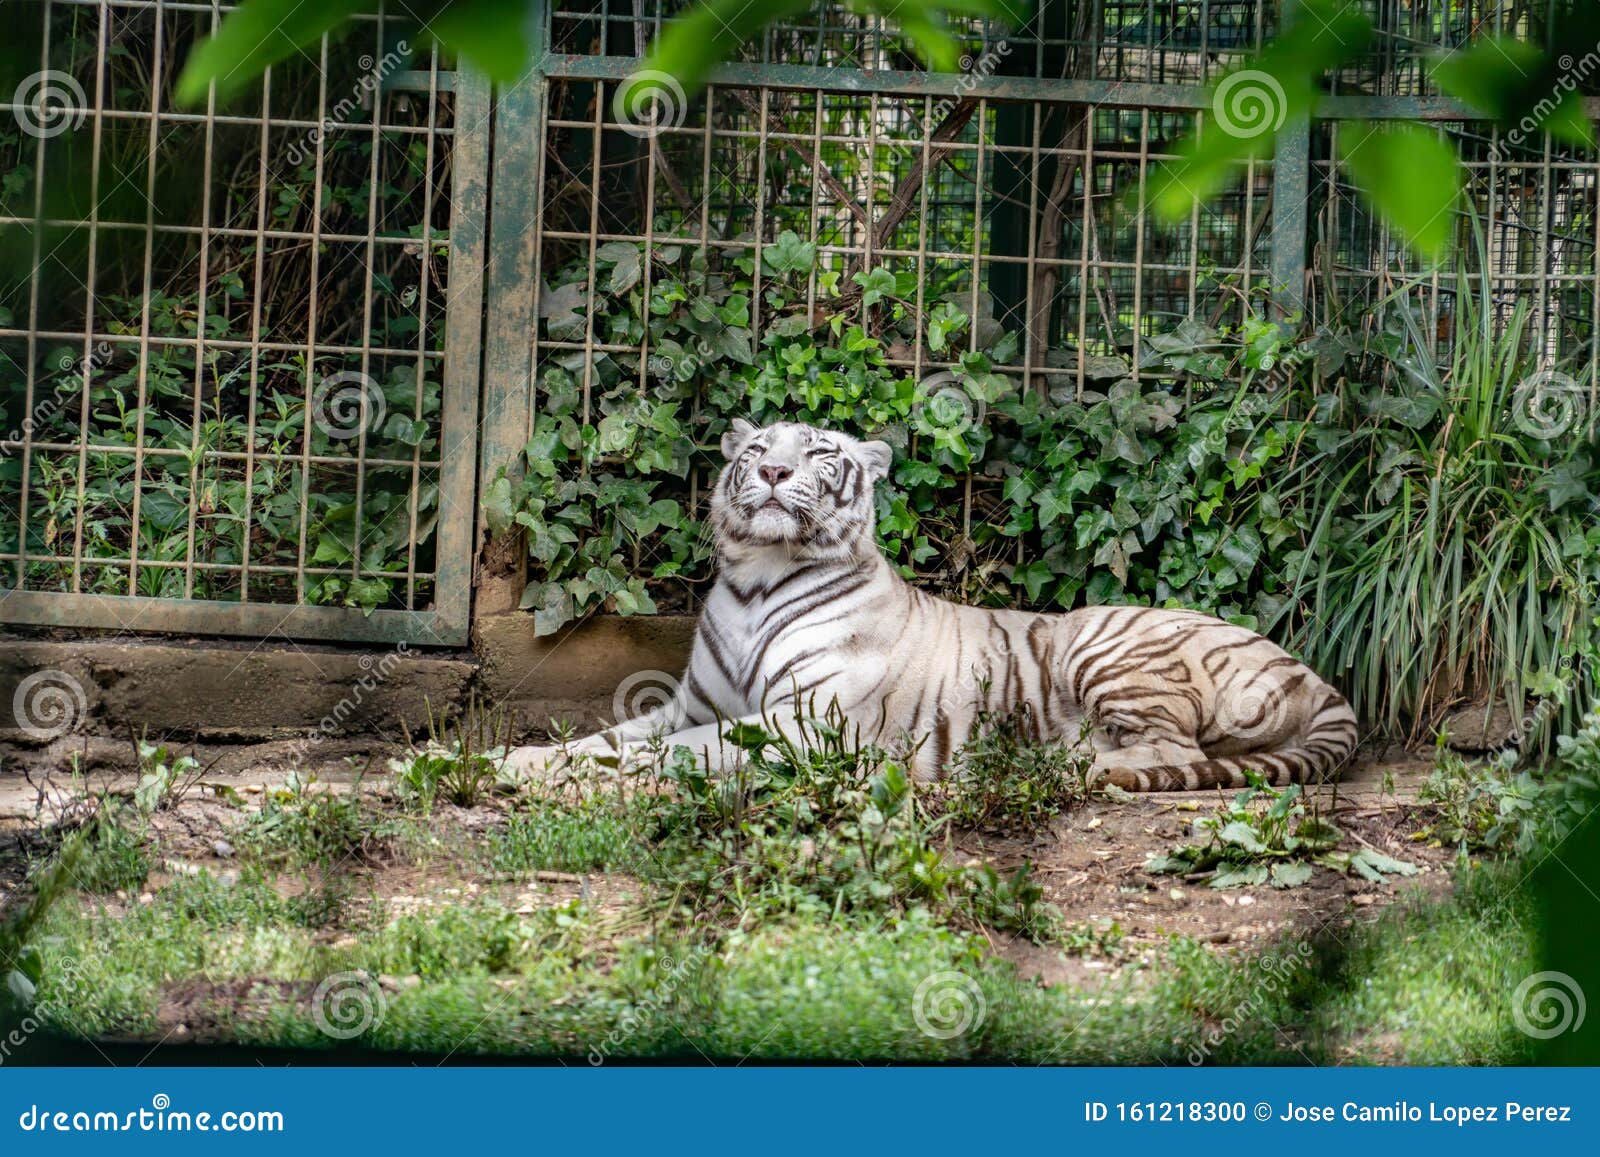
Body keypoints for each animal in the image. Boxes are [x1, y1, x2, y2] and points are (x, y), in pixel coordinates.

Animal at [505, 418, 1358, 791]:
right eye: (757, 449)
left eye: (820, 452)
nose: (775, 473)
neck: (755, 582)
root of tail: (1320, 680)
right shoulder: (690, 703)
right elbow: (610, 736)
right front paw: (511, 758)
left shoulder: (806, 721)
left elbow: (678, 750)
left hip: (1103, 640)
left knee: (1169, 750)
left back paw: (1044, 761)